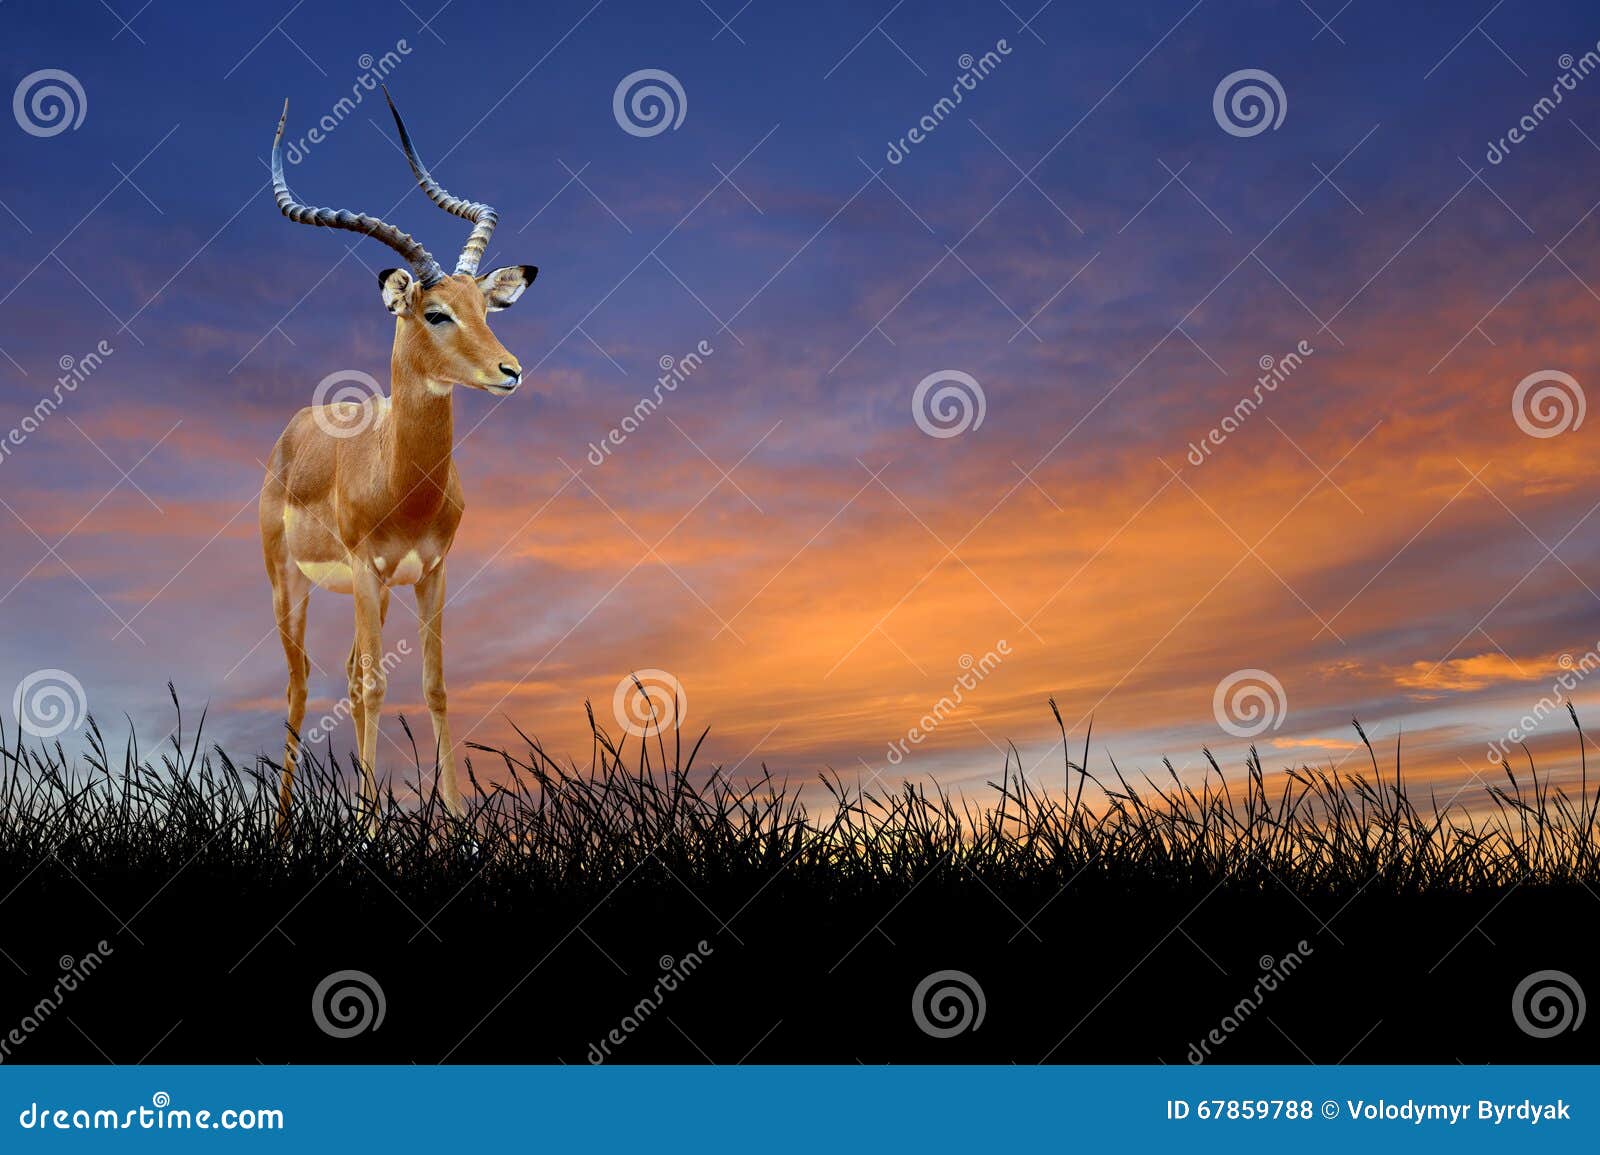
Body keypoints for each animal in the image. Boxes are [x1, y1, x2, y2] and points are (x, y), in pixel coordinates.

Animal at [259, 89, 537, 829]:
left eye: (484, 307)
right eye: (435, 312)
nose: (510, 371)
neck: (402, 479)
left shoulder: (430, 570)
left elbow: (434, 686)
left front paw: (455, 827)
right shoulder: (364, 567)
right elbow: (375, 686)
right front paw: (366, 829)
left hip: (376, 591)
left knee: (348, 675)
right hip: (292, 582)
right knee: (301, 680)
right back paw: (285, 827)